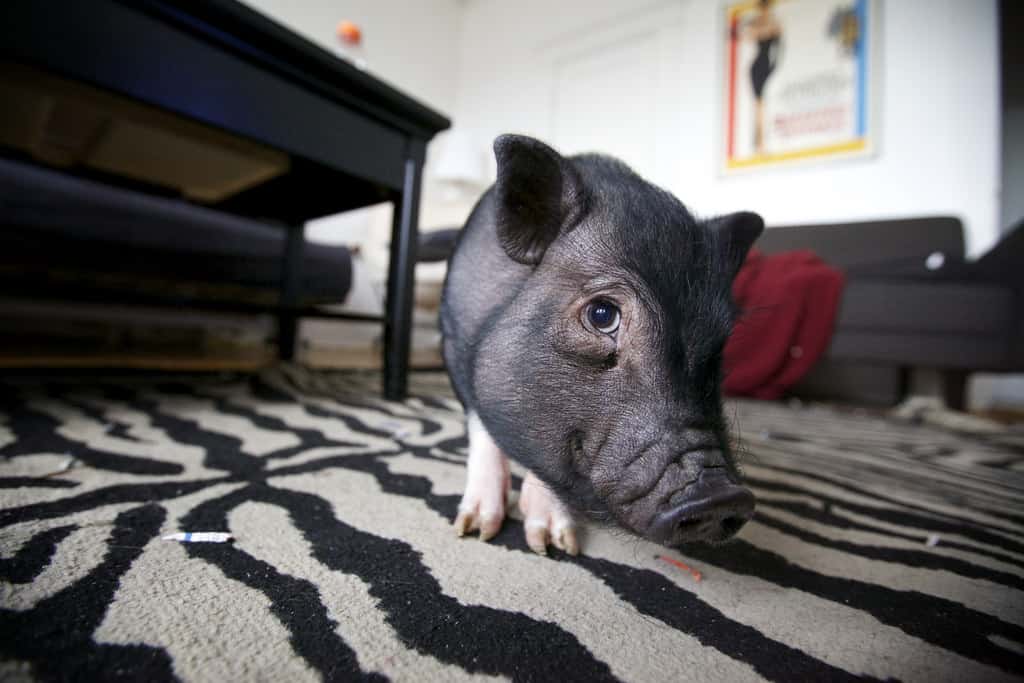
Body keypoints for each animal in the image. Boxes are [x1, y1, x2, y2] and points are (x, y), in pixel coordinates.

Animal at [440, 135, 762, 555]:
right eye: (602, 314)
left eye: (719, 343)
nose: (721, 497)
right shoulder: (452, 343)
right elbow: (483, 429)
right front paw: (477, 529)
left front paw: (553, 543)